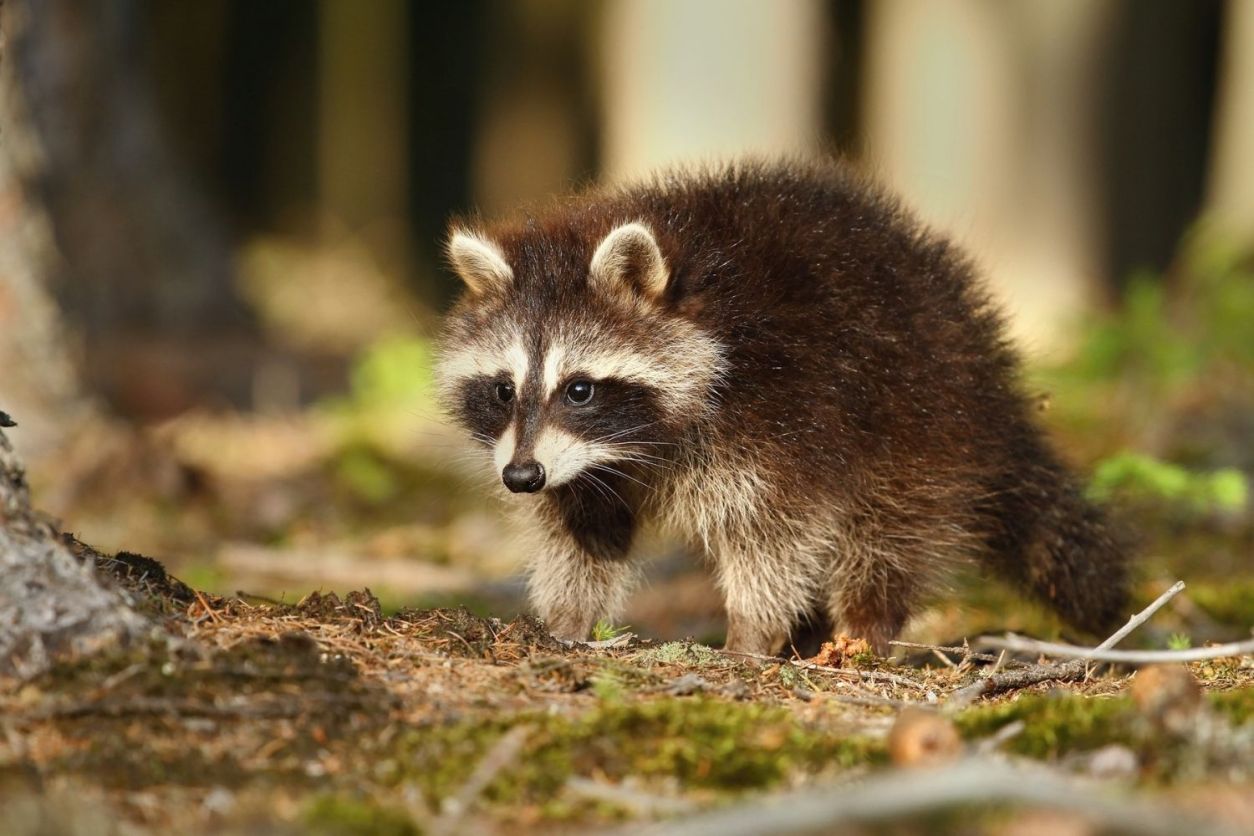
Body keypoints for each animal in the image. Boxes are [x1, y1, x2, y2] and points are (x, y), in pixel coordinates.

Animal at [436, 159, 1129, 656]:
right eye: (503, 390)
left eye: (578, 389)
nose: (520, 478)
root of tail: (984, 361)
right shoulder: (578, 465)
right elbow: (582, 532)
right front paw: (566, 622)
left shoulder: (781, 412)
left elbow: (773, 534)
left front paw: (750, 633)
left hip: (917, 415)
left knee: (888, 531)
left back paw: (865, 628)